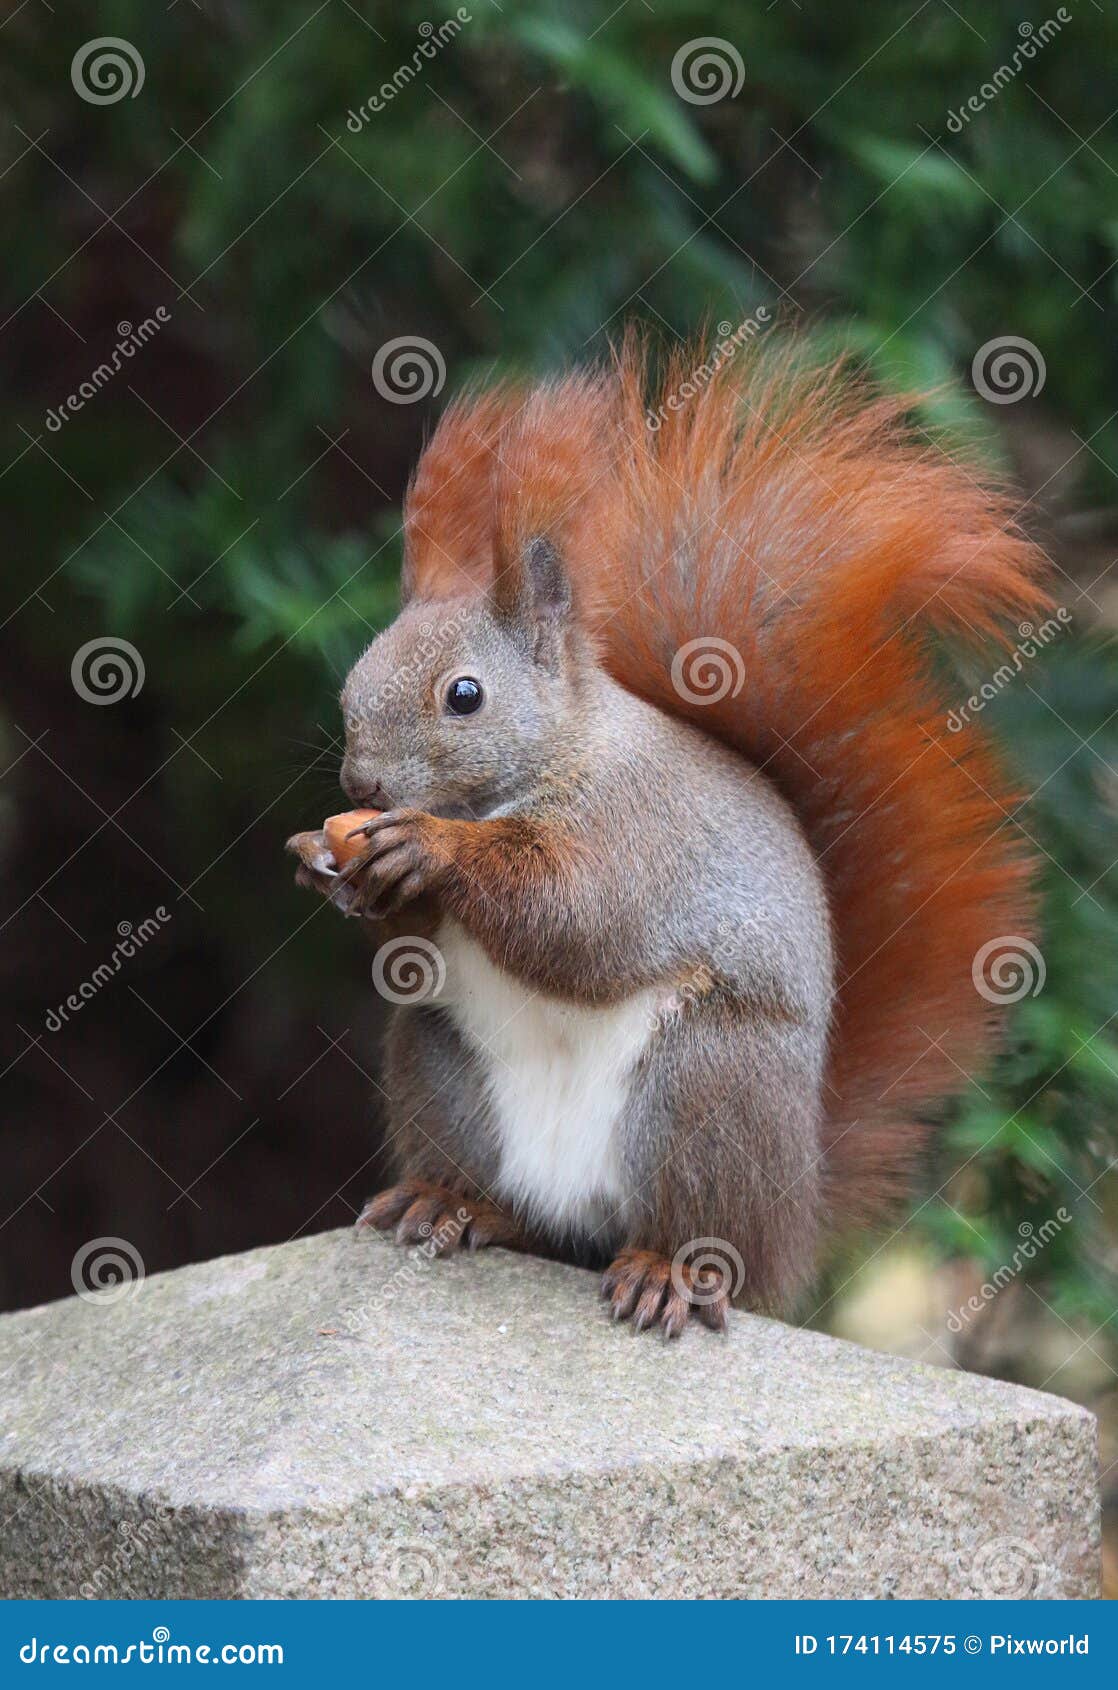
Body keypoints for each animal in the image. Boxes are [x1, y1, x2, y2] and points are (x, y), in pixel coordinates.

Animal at [287, 332, 1049, 1336]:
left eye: (465, 696)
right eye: (351, 685)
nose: (362, 786)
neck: (555, 758)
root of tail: (793, 1216)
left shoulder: (640, 835)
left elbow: (578, 920)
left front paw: (431, 853)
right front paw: (324, 864)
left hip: (706, 1086)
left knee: (696, 1235)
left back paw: (670, 1272)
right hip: (442, 1068)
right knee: (522, 1215)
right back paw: (452, 1201)